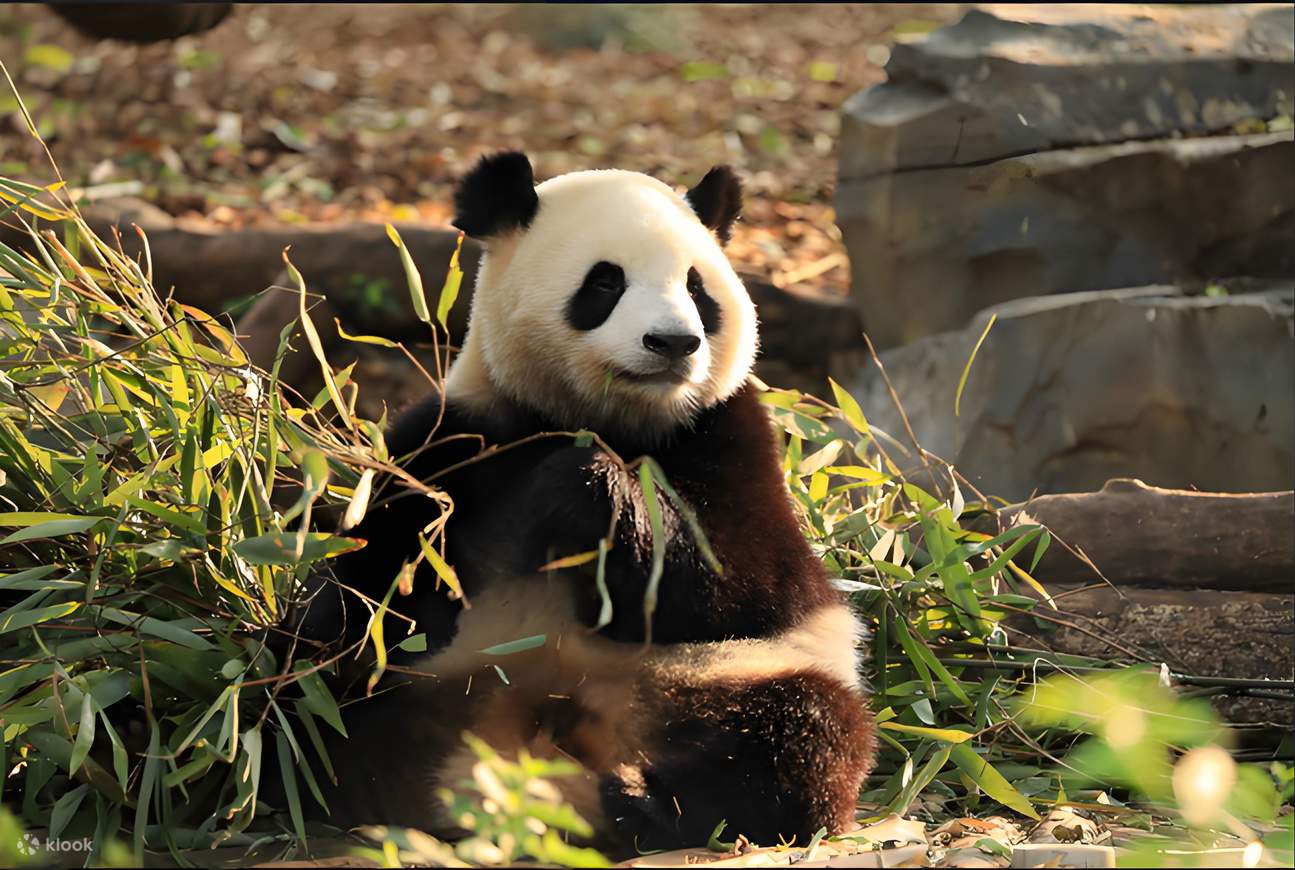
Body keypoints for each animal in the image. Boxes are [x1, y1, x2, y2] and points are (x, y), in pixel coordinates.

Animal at [291, 152, 877, 855]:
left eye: (698, 289)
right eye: (605, 282)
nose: (674, 342)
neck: (607, 418)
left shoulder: (728, 434)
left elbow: (748, 581)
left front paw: (582, 485)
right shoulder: (461, 439)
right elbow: (376, 577)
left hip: (729, 675)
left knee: (804, 732)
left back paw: (643, 802)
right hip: (435, 687)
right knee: (324, 728)